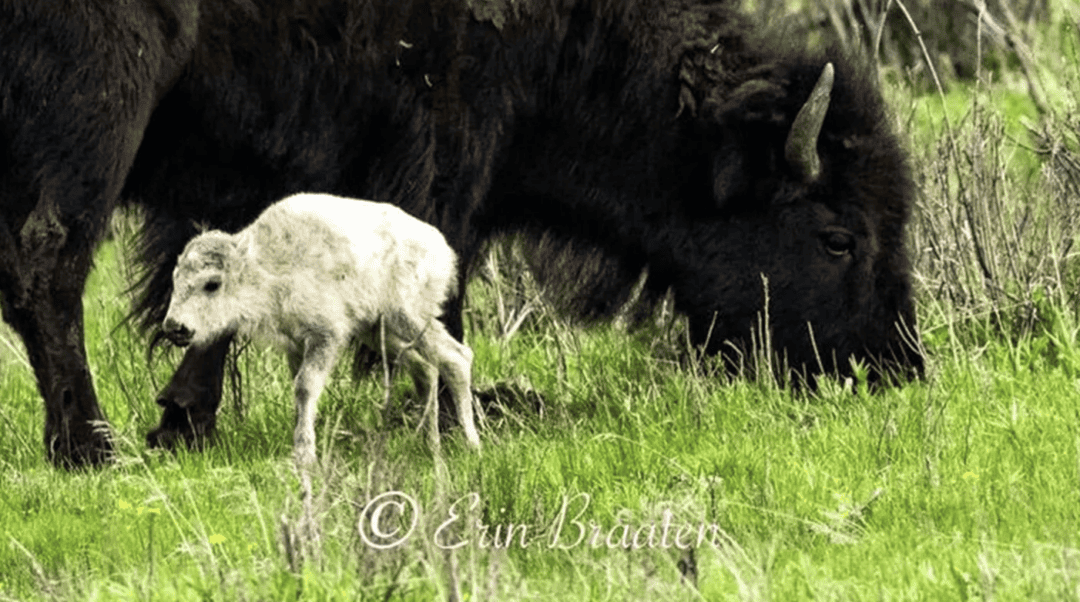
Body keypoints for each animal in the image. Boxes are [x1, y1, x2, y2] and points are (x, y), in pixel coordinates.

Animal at [0, 0, 921, 467]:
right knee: (48, 262)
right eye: (838, 238)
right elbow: (445, 287)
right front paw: (461, 418)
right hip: (97, 107)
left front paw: (184, 421)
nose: (895, 367)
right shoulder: (449, 139)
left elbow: (221, 290)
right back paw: (89, 448)